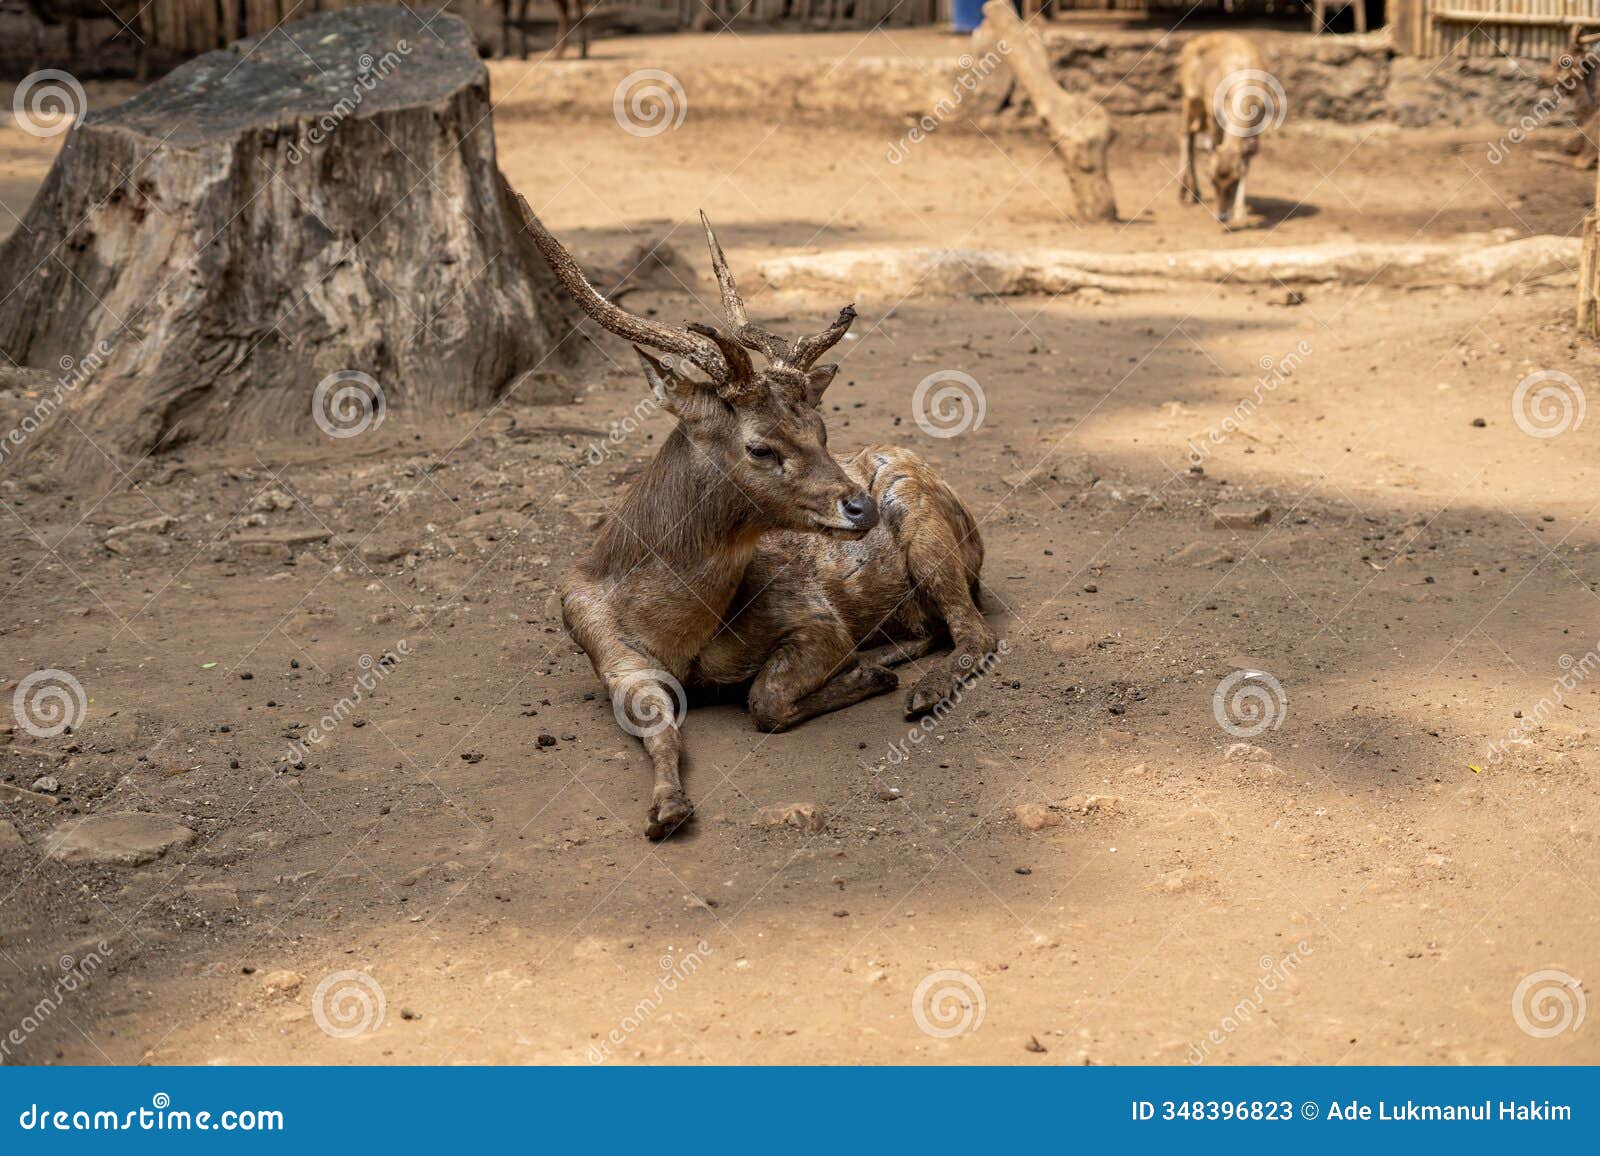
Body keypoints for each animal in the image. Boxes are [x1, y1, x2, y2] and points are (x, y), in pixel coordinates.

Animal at [510, 195, 997, 840]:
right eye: (761, 447)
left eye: (821, 429)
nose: (860, 504)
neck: (677, 633)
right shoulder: (607, 653)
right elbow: (658, 726)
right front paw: (666, 809)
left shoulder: (815, 618)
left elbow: (763, 700)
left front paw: (861, 678)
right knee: (934, 626)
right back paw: (887, 659)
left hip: (923, 520)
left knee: (975, 629)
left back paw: (914, 686)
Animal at [1179, 32, 1273, 227]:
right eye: (1212, 180)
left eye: (1234, 181)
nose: (1221, 216)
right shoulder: (1212, 112)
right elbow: (1212, 147)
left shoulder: (1258, 125)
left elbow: (1246, 161)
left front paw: (1240, 214)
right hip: (1189, 98)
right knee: (1185, 134)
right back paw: (1182, 193)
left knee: (1192, 135)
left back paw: (1195, 193)